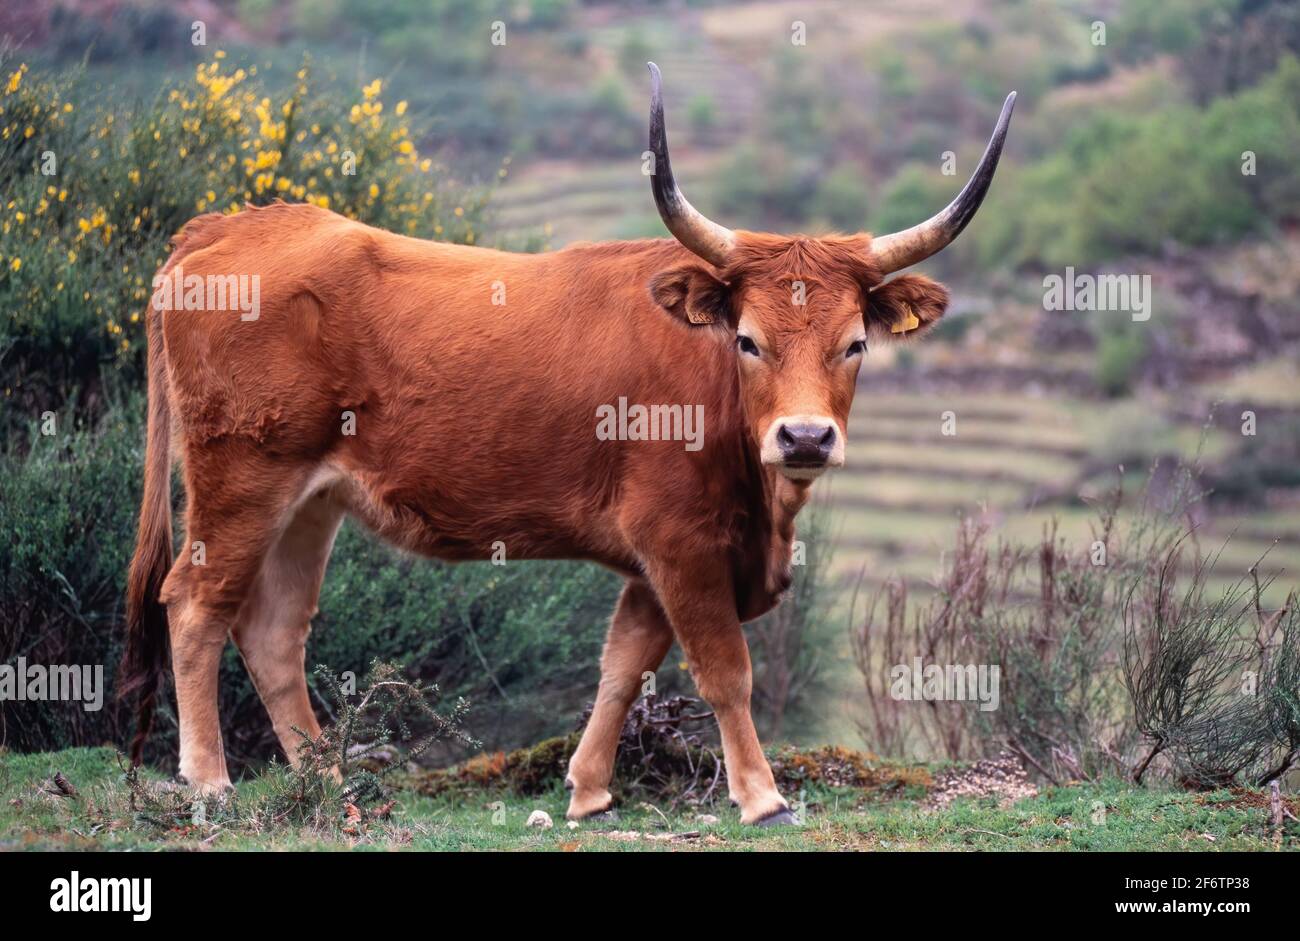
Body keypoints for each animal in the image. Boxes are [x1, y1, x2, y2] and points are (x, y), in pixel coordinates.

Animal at [120, 63, 1014, 826]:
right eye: (750, 340)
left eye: (855, 344)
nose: (804, 435)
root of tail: (229, 225)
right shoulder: (680, 541)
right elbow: (725, 669)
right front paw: (761, 796)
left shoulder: (657, 561)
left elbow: (623, 665)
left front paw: (587, 789)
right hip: (241, 478)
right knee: (195, 604)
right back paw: (210, 780)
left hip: (310, 500)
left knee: (274, 629)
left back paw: (327, 779)